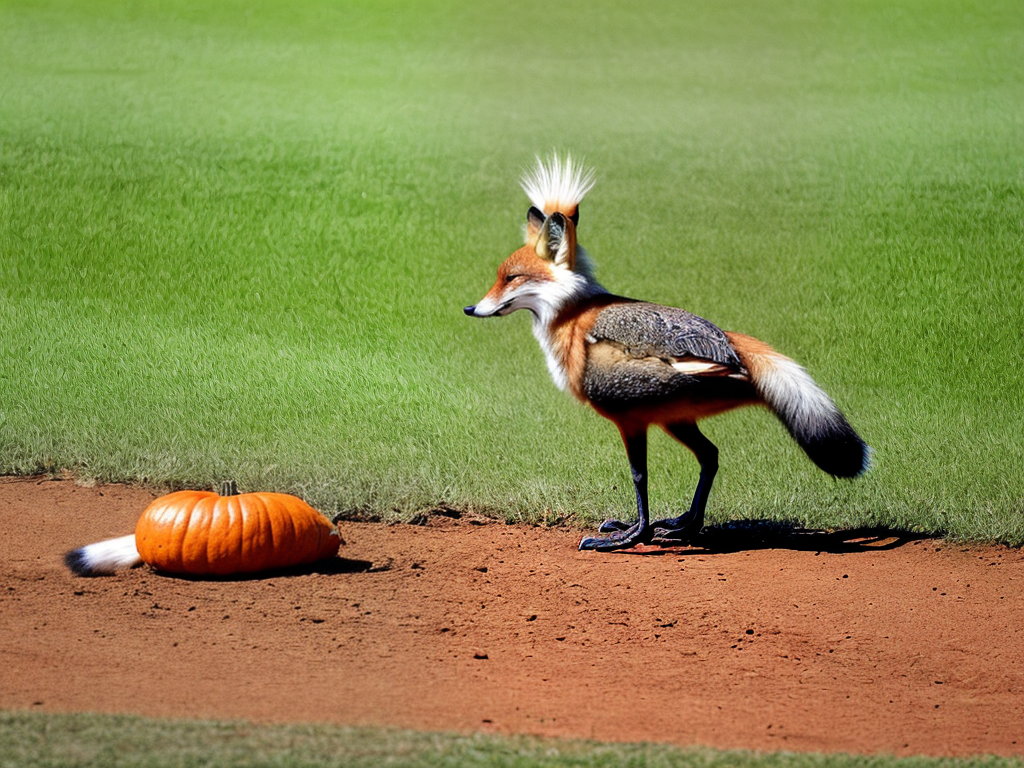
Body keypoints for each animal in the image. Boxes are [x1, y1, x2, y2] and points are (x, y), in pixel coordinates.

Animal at [464, 154, 869, 552]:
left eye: (510, 278)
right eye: (500, 277)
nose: (470, 309)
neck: (575, 318)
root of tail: (730, 343)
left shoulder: (630, 420)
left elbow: (639, 476)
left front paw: (633, 535)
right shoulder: (645, 421)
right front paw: (639, 528)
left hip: (675, 413)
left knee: (707, 456)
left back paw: (677, 527)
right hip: (679, 420)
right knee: (711, 456)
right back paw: (686, 525)